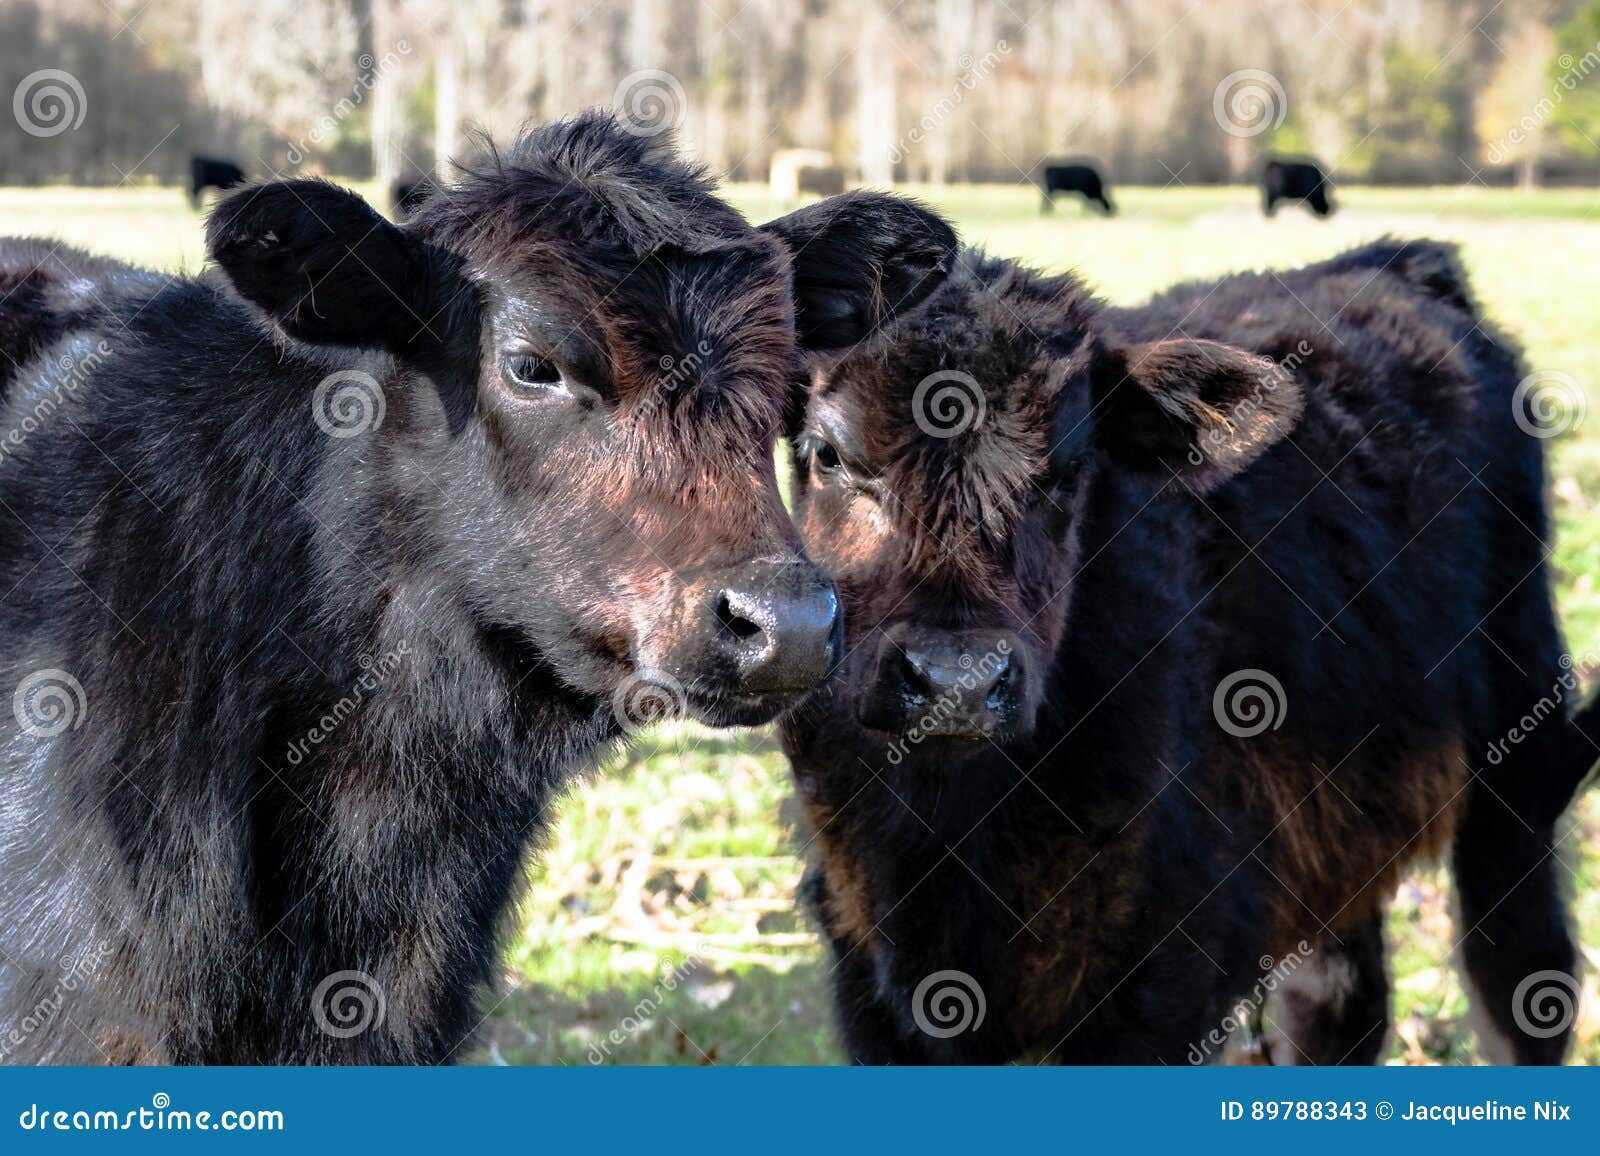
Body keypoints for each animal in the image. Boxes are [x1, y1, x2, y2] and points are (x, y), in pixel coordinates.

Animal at [779, 237, 1598, 1065]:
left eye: (1070, 471)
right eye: (826, 455)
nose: (957, 680)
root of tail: (1399, 262)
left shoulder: (1164, 982)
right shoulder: (867, 977)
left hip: (1520, 767)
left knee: (1522, 973)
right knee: (1339, 999)